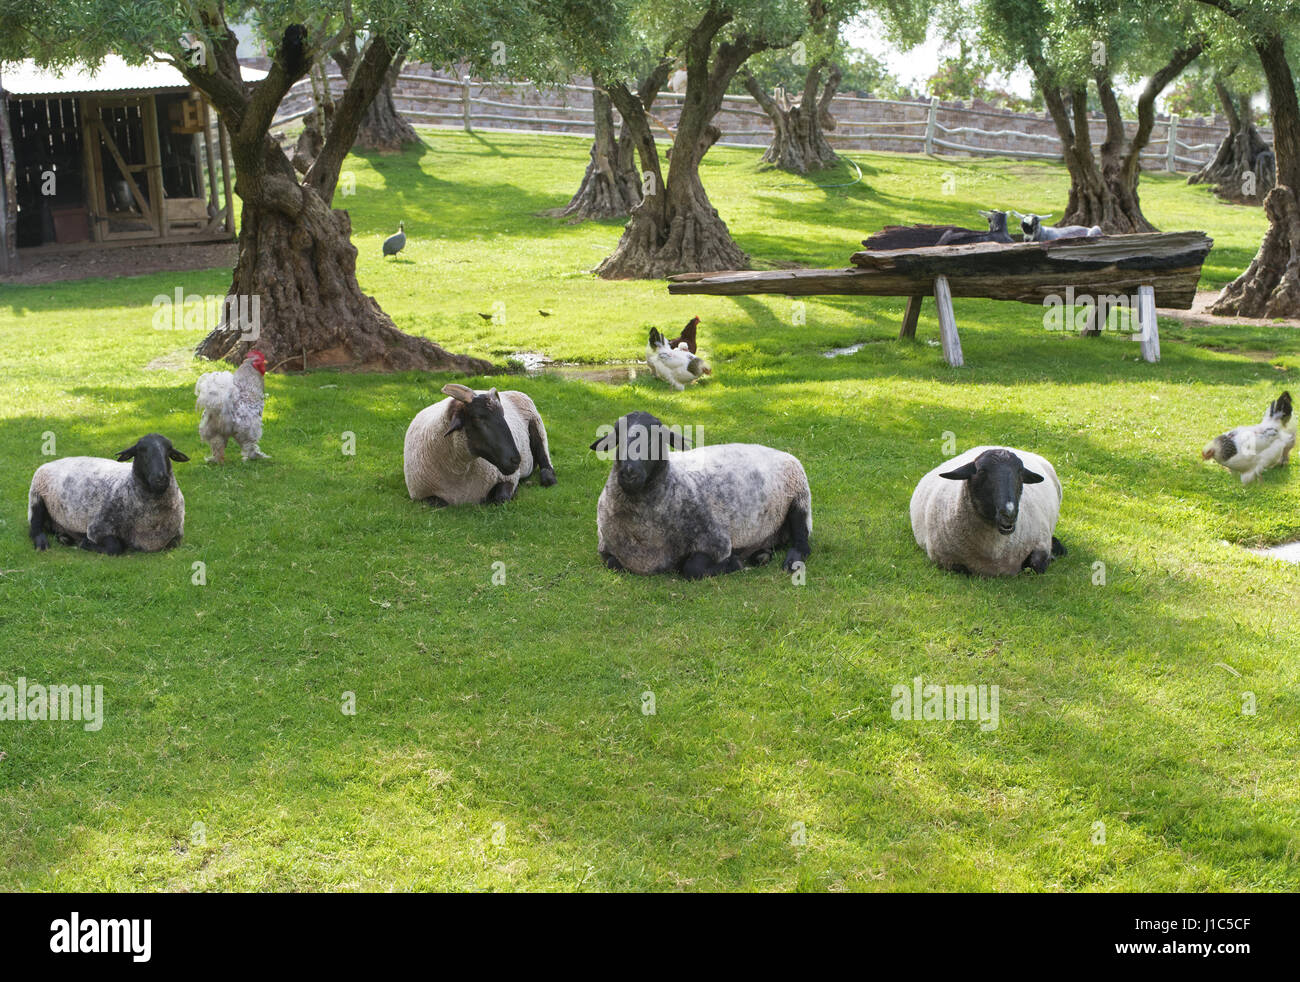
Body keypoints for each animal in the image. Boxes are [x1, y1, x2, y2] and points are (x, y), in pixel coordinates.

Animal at [28, 433, 190, 554]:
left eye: (169, 451)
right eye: (141, 450)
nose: (160, 478)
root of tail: (53, 461)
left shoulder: (177, 536)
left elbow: (174, 543)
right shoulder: (97, 528)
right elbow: (115, 547)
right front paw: (85, 543)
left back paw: (64, 537)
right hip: (36, 497)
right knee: (34, 527)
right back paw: (43, 543)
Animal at [403, 384, 556, 507]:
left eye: (503, 415)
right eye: (477, 418)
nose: (516, 460)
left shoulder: (509, 478)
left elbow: (500, 498)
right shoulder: (421, 496)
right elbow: (438, 503)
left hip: (537, 424)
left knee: (545, 458)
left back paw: (548, 478)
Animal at [589, 411, 811, 579]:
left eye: (657, 437)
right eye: (617, 436)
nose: (629, 472)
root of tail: (774, 449)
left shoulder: (717, 542)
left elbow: (692, 569)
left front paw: (735, 562)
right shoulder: (606, 550)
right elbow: (612, 563)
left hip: (799, 498)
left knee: (803, 540)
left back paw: (791, 561)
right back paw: (761, 554)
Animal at [910, 446, 1065, 577]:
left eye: (1020, 472)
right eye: (981, 471)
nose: (1009, 514)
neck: (995, 550)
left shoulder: (1042, 541)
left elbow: (1035, 565)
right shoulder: (945, 560)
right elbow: (964, 569)